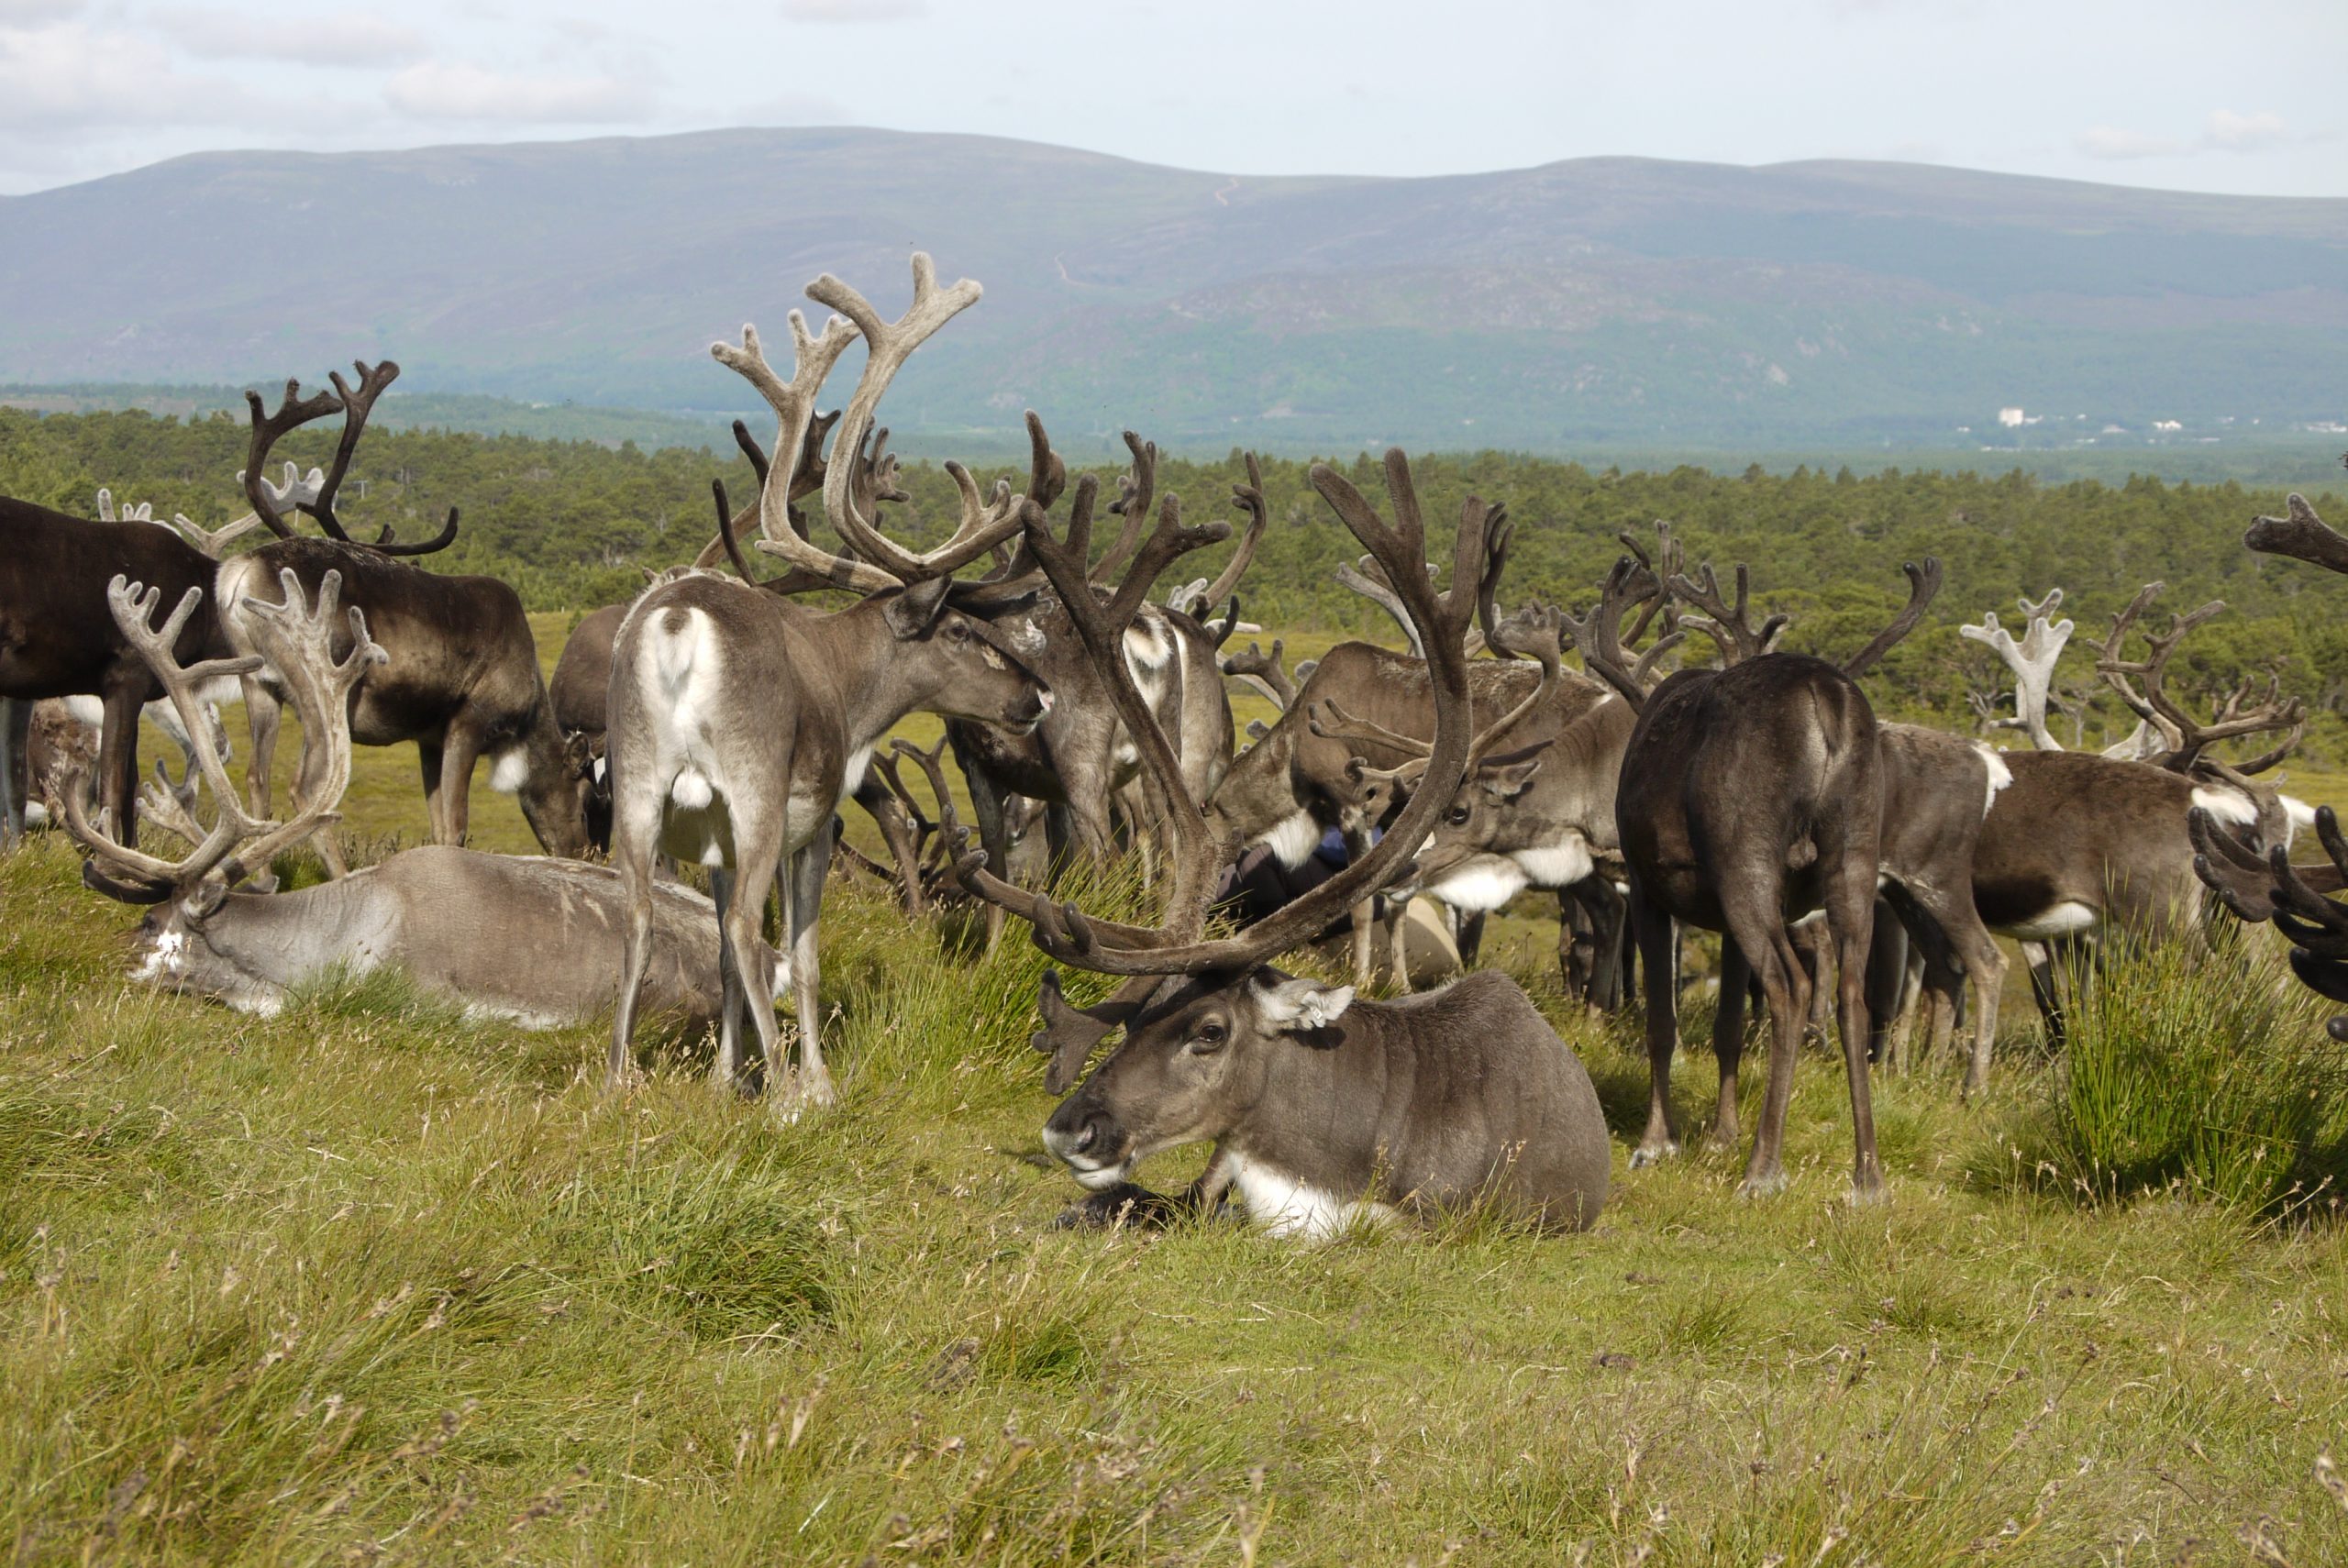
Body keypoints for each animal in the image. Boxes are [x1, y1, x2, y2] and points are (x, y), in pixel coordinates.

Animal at [219, 361, 591, 868]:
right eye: (586, 790)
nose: (587, 851)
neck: (529, 707)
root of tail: (240, 573)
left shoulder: (428, 736)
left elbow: (437, 824)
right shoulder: (469, 718)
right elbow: (455, 825)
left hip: (258, 683)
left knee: (257, 779)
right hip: (321, 688)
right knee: (307, 789)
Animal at [606, 255, 1054, 1116]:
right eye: (958, 631)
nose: (1035, 696)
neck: (854, 696)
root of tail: (677, 622)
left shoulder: (711, 837)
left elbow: (720, 958)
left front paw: (723, 1081)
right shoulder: (813, 819)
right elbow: (802, 955)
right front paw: (812, 1081)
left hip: (638, 780)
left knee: (641, 913)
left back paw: (616, 1082)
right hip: (753, 779)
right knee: (747, 926)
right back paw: (786, 1095)